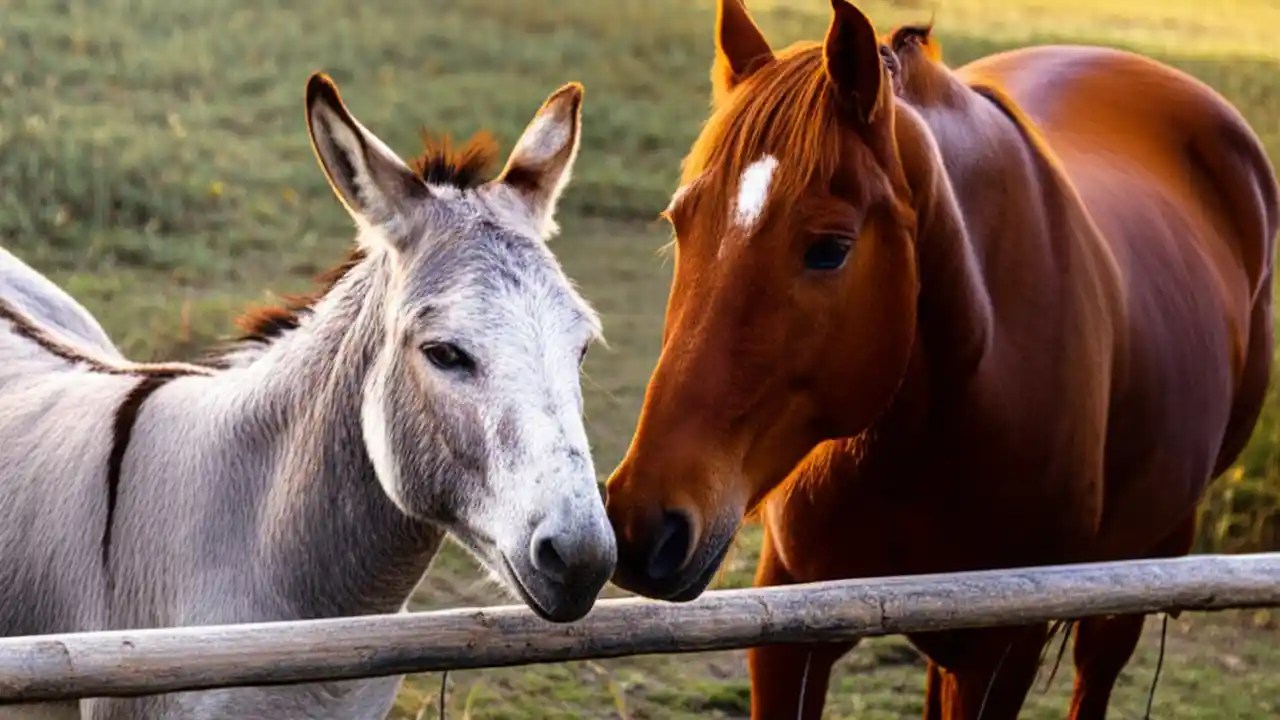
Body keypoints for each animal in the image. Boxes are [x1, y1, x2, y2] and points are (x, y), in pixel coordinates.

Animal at [603, 0, 1277, 717]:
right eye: (680, 223)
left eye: (830, 249)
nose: (645, 524)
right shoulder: (792, 627)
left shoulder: (1002, 653)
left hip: (1149, 559)